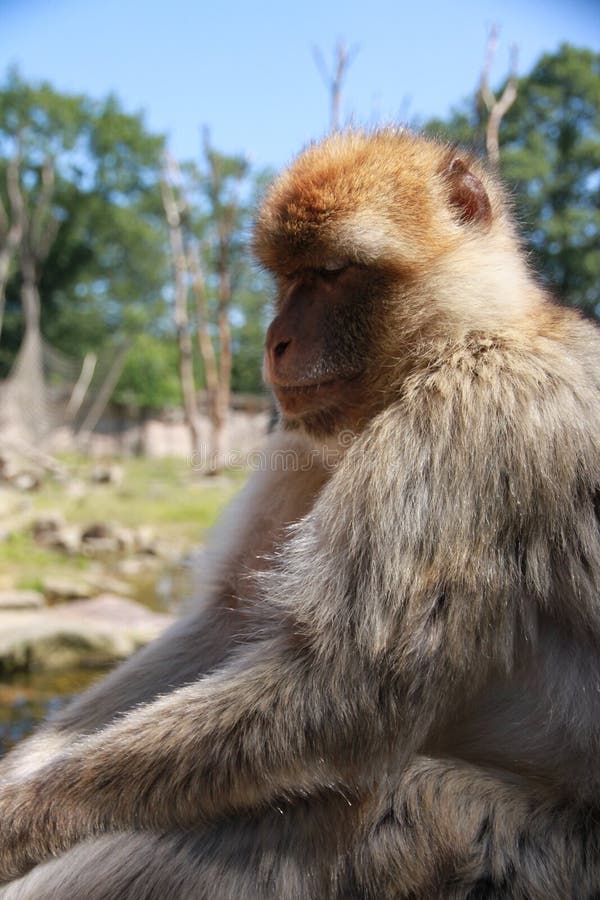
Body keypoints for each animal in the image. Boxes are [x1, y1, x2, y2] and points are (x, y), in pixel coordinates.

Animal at [0, 128, 598, 900]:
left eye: (332, 271)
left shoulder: (472, 416)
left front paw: (22, 814)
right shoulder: (300, 440)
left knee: (349, 809)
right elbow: (229, 622)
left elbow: (339, 692)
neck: (459, 341)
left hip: (534, 855)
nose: (275, 340)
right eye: (286, 277)